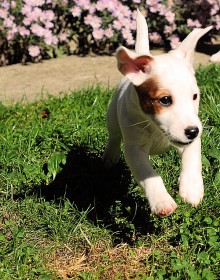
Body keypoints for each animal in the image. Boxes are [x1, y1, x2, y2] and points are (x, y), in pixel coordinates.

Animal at [102, 8, 212, 214]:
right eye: (165, 100)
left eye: (195, 96)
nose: (193, 131)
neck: (155, 128)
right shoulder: (134, 150)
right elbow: (148, 175)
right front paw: (161, 200)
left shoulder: (191, 140)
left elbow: (193, 158)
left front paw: (192, 188)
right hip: (112, 117)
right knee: (113, 137)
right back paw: (109, 157)